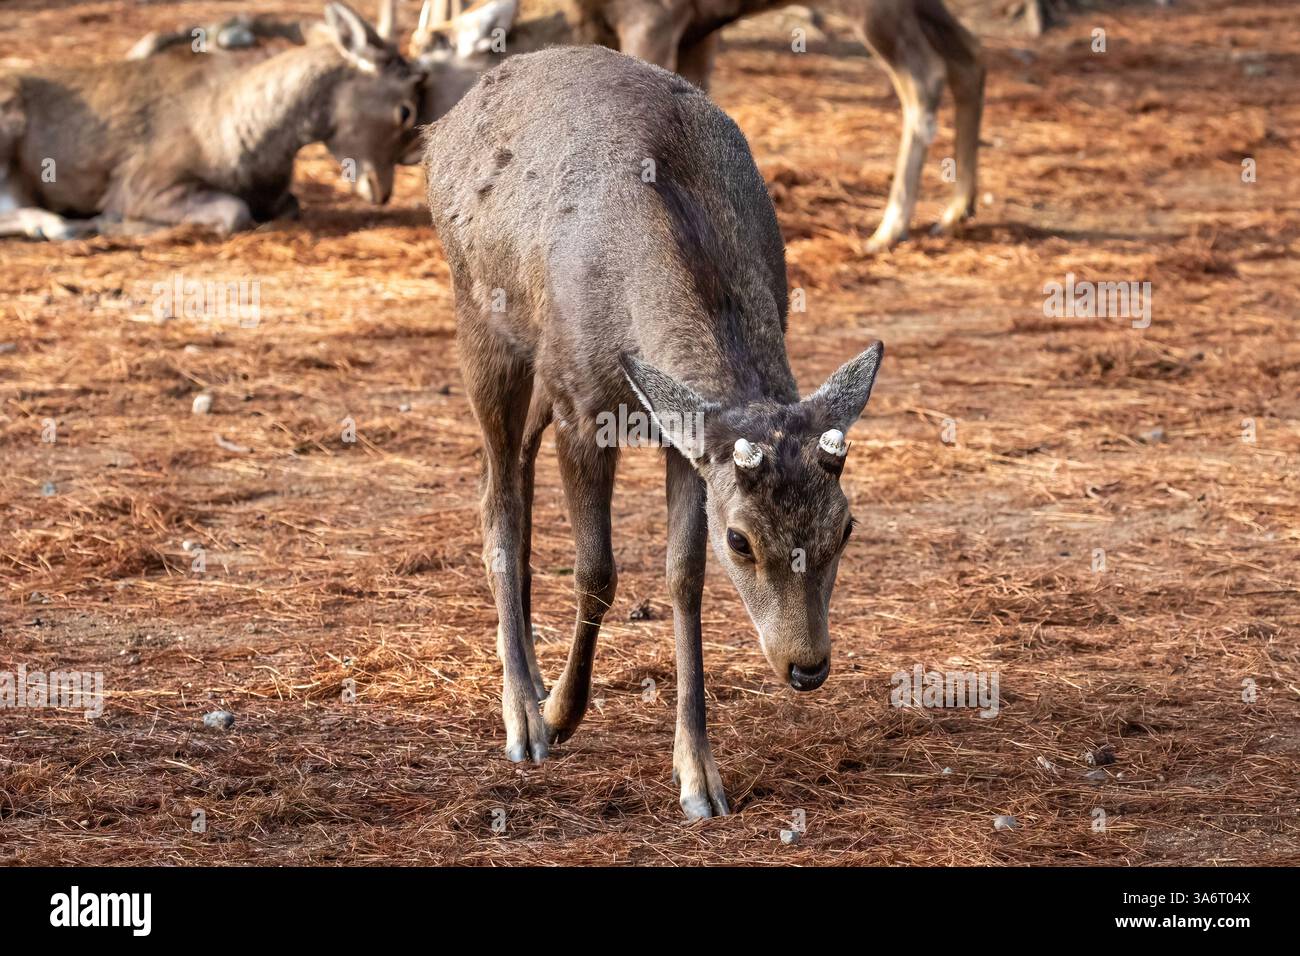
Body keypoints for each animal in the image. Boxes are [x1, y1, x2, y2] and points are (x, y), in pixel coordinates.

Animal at [0, 2, 422, 240]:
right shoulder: (143, 185)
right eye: (405, 111)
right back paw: (62, 225)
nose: (383, 190)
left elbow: (288, 206)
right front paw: (112, 221)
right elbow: (233, 211)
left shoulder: (278, 197)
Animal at [413, 0, 985, 251]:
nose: (418, 141)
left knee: (926, 78)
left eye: (425, 71)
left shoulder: (655, 17)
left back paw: (889, 228)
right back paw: (957, 208)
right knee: (968, 57)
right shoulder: (696, 32)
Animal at [424, 45, 884, 818]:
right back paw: (523, 712)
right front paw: (561, 714)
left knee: (514, 475)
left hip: (537, 368)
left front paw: (699, 777)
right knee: (496, 500)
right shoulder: (582, 405)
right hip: (481, 324)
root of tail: (438, 132)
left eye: (846, 527)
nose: (807, 666)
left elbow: (683, 579)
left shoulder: (684, 440)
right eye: (743, 540)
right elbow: (597, 570)